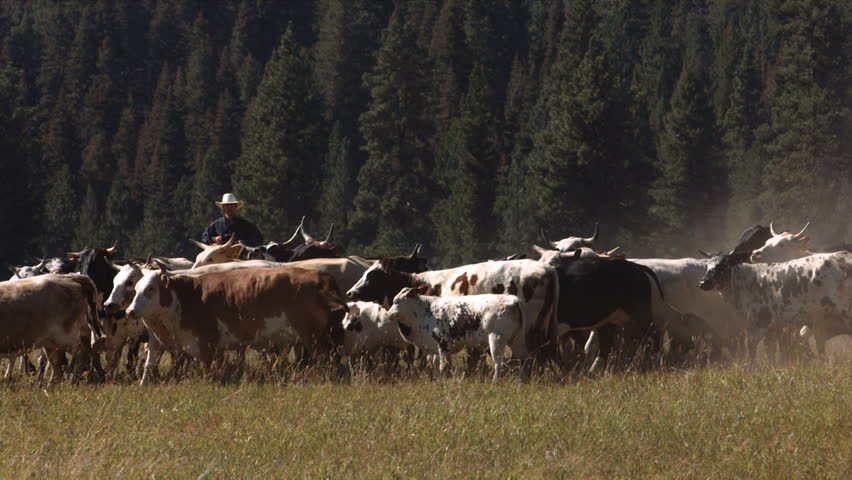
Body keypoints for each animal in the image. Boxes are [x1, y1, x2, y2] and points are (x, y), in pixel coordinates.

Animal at [126, 266, 349, 385]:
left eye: (150, 289)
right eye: (136, 288)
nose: (130, 311)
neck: (184, 298)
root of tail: (322, 278)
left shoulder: (206, 343)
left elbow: (207, 369)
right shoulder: (160, 342)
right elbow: (149, 365)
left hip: (314, 338)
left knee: (326, 362)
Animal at [387, 287, 528, 382]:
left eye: (396, 302)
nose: (388, 314)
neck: (425, 311)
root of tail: (514, 299)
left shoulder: (443, 344)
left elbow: (442, 365)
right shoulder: (436, 347)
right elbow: (439, 365)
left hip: (497, 338)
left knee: (499, 363)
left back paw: (495, 382)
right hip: (517, 339)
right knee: (520, 359)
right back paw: (521, 381)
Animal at [699, 252, 852, 359]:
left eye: (723, 265)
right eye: (707, 265)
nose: (703, 282)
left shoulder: (759, 326)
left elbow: (752, 353)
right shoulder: (772, 330)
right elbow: (770, 355)